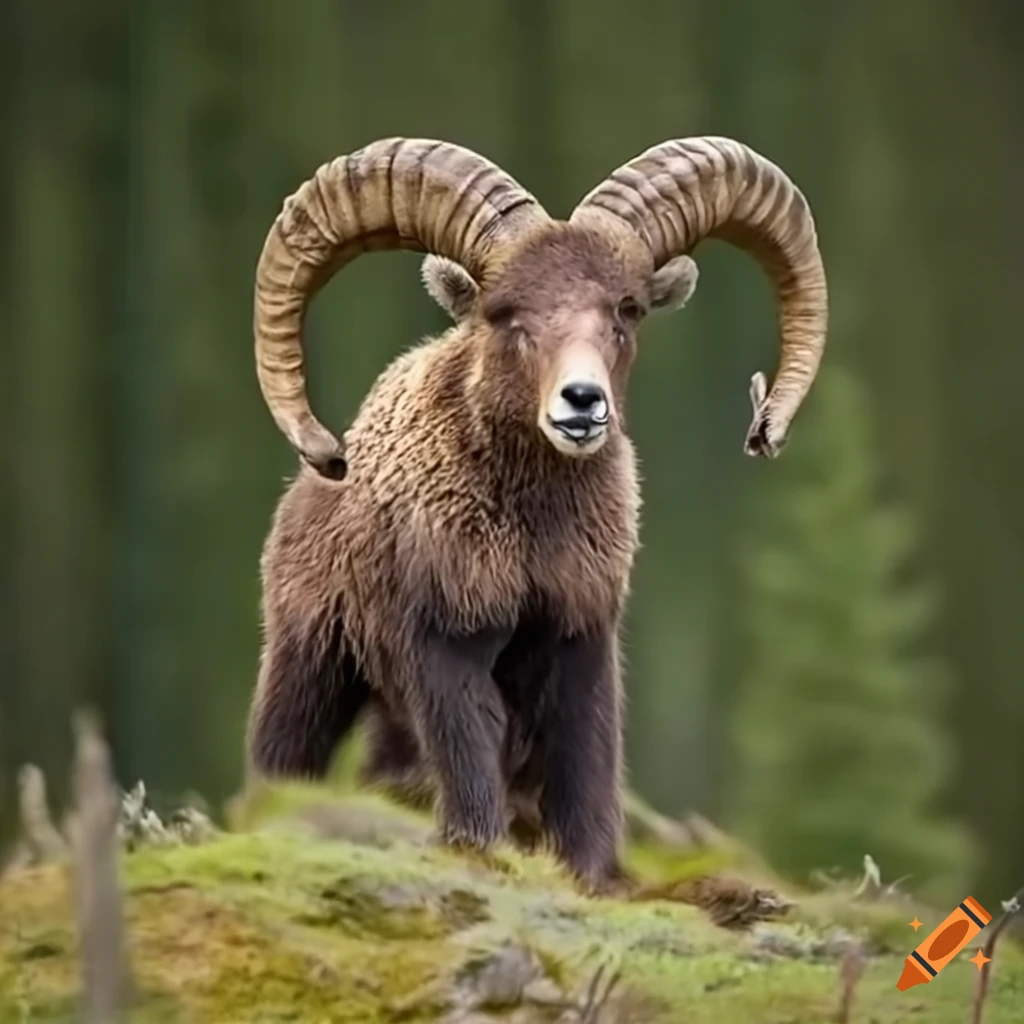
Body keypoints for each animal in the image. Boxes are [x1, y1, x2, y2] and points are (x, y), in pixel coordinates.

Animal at [244, 136, 828, 889]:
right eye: (505, 311)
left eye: (627, 309)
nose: (581, 402)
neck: (528, 539)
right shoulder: (447, 650)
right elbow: (470, 780)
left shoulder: (580, 646)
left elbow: (586, 792)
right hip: (309, 668)